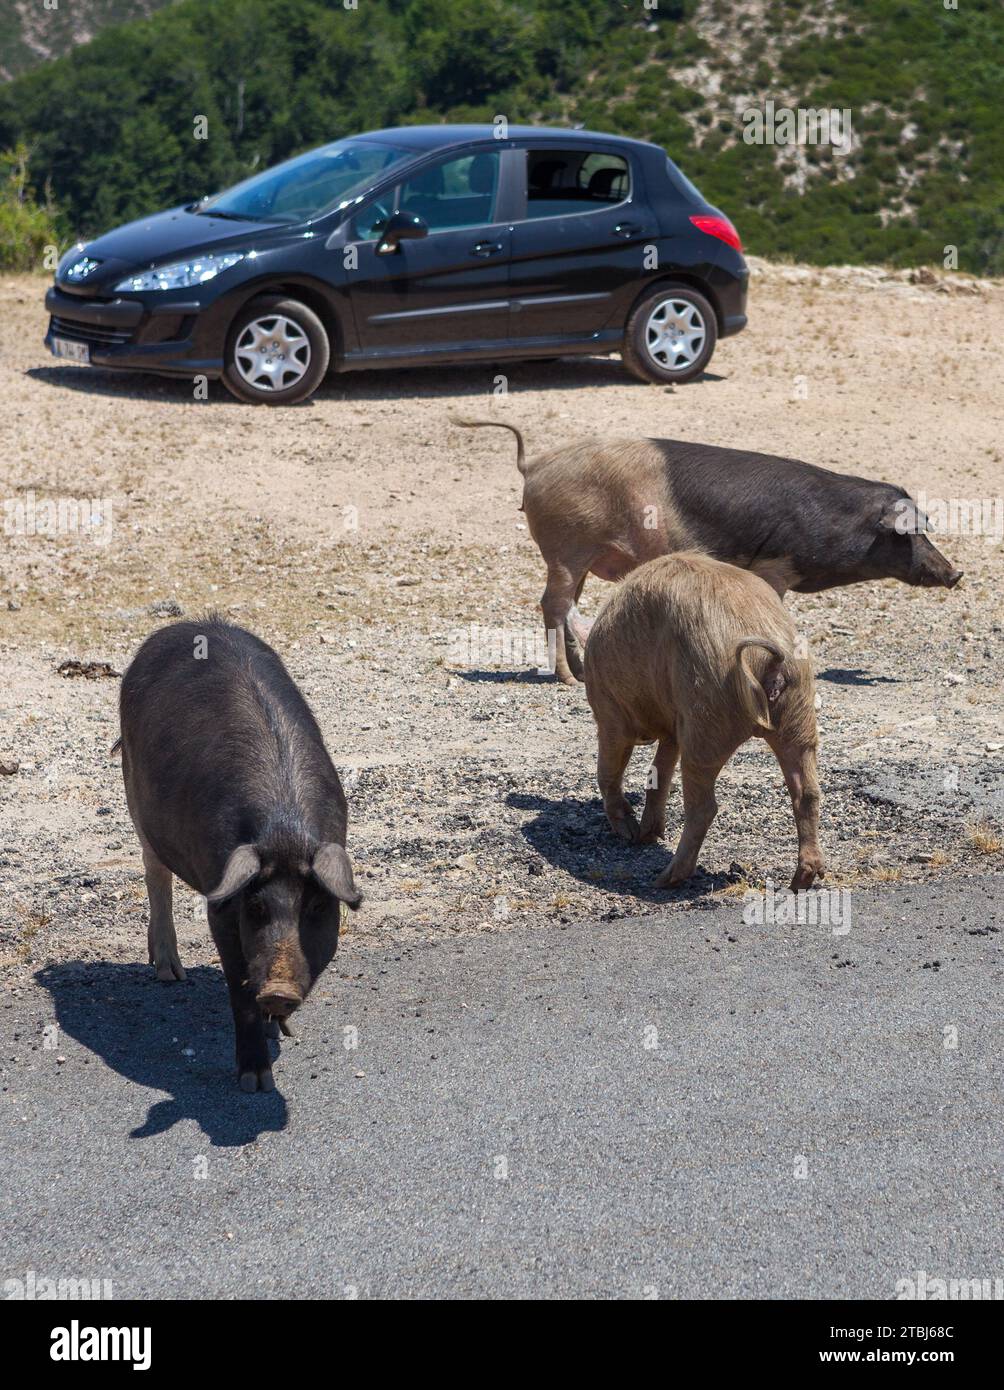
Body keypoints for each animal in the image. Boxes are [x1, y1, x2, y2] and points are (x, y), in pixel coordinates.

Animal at [118, 617, 361, 1091]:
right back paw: (170, 973)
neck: (284, 832)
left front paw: (283, 1029)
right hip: (135, 796)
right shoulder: (221, 897)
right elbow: (238, 988)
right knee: (154, 872)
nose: (279, 990)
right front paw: (255, 1081)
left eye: (317, 906)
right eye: (256, 906)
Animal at [452, 421, 962, 685]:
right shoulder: (774, 565)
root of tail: (535, 464)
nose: (955, 573)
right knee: (553, 604)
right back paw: (569, 680)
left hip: (577, 555)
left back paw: (579, 671)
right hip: (566, 546)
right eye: (909, 533)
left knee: (561, 605)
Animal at [583, 552, 823, 891]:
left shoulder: (610, 709)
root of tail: (767, 657)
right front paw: (647, 836)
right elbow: (660, 772)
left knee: (704, 805)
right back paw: (801, 881)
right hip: (799, 712)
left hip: (706, 717)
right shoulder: (674, 725)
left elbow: (609, 768)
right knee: (807, 791)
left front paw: (629, 835)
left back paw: (664, 879)